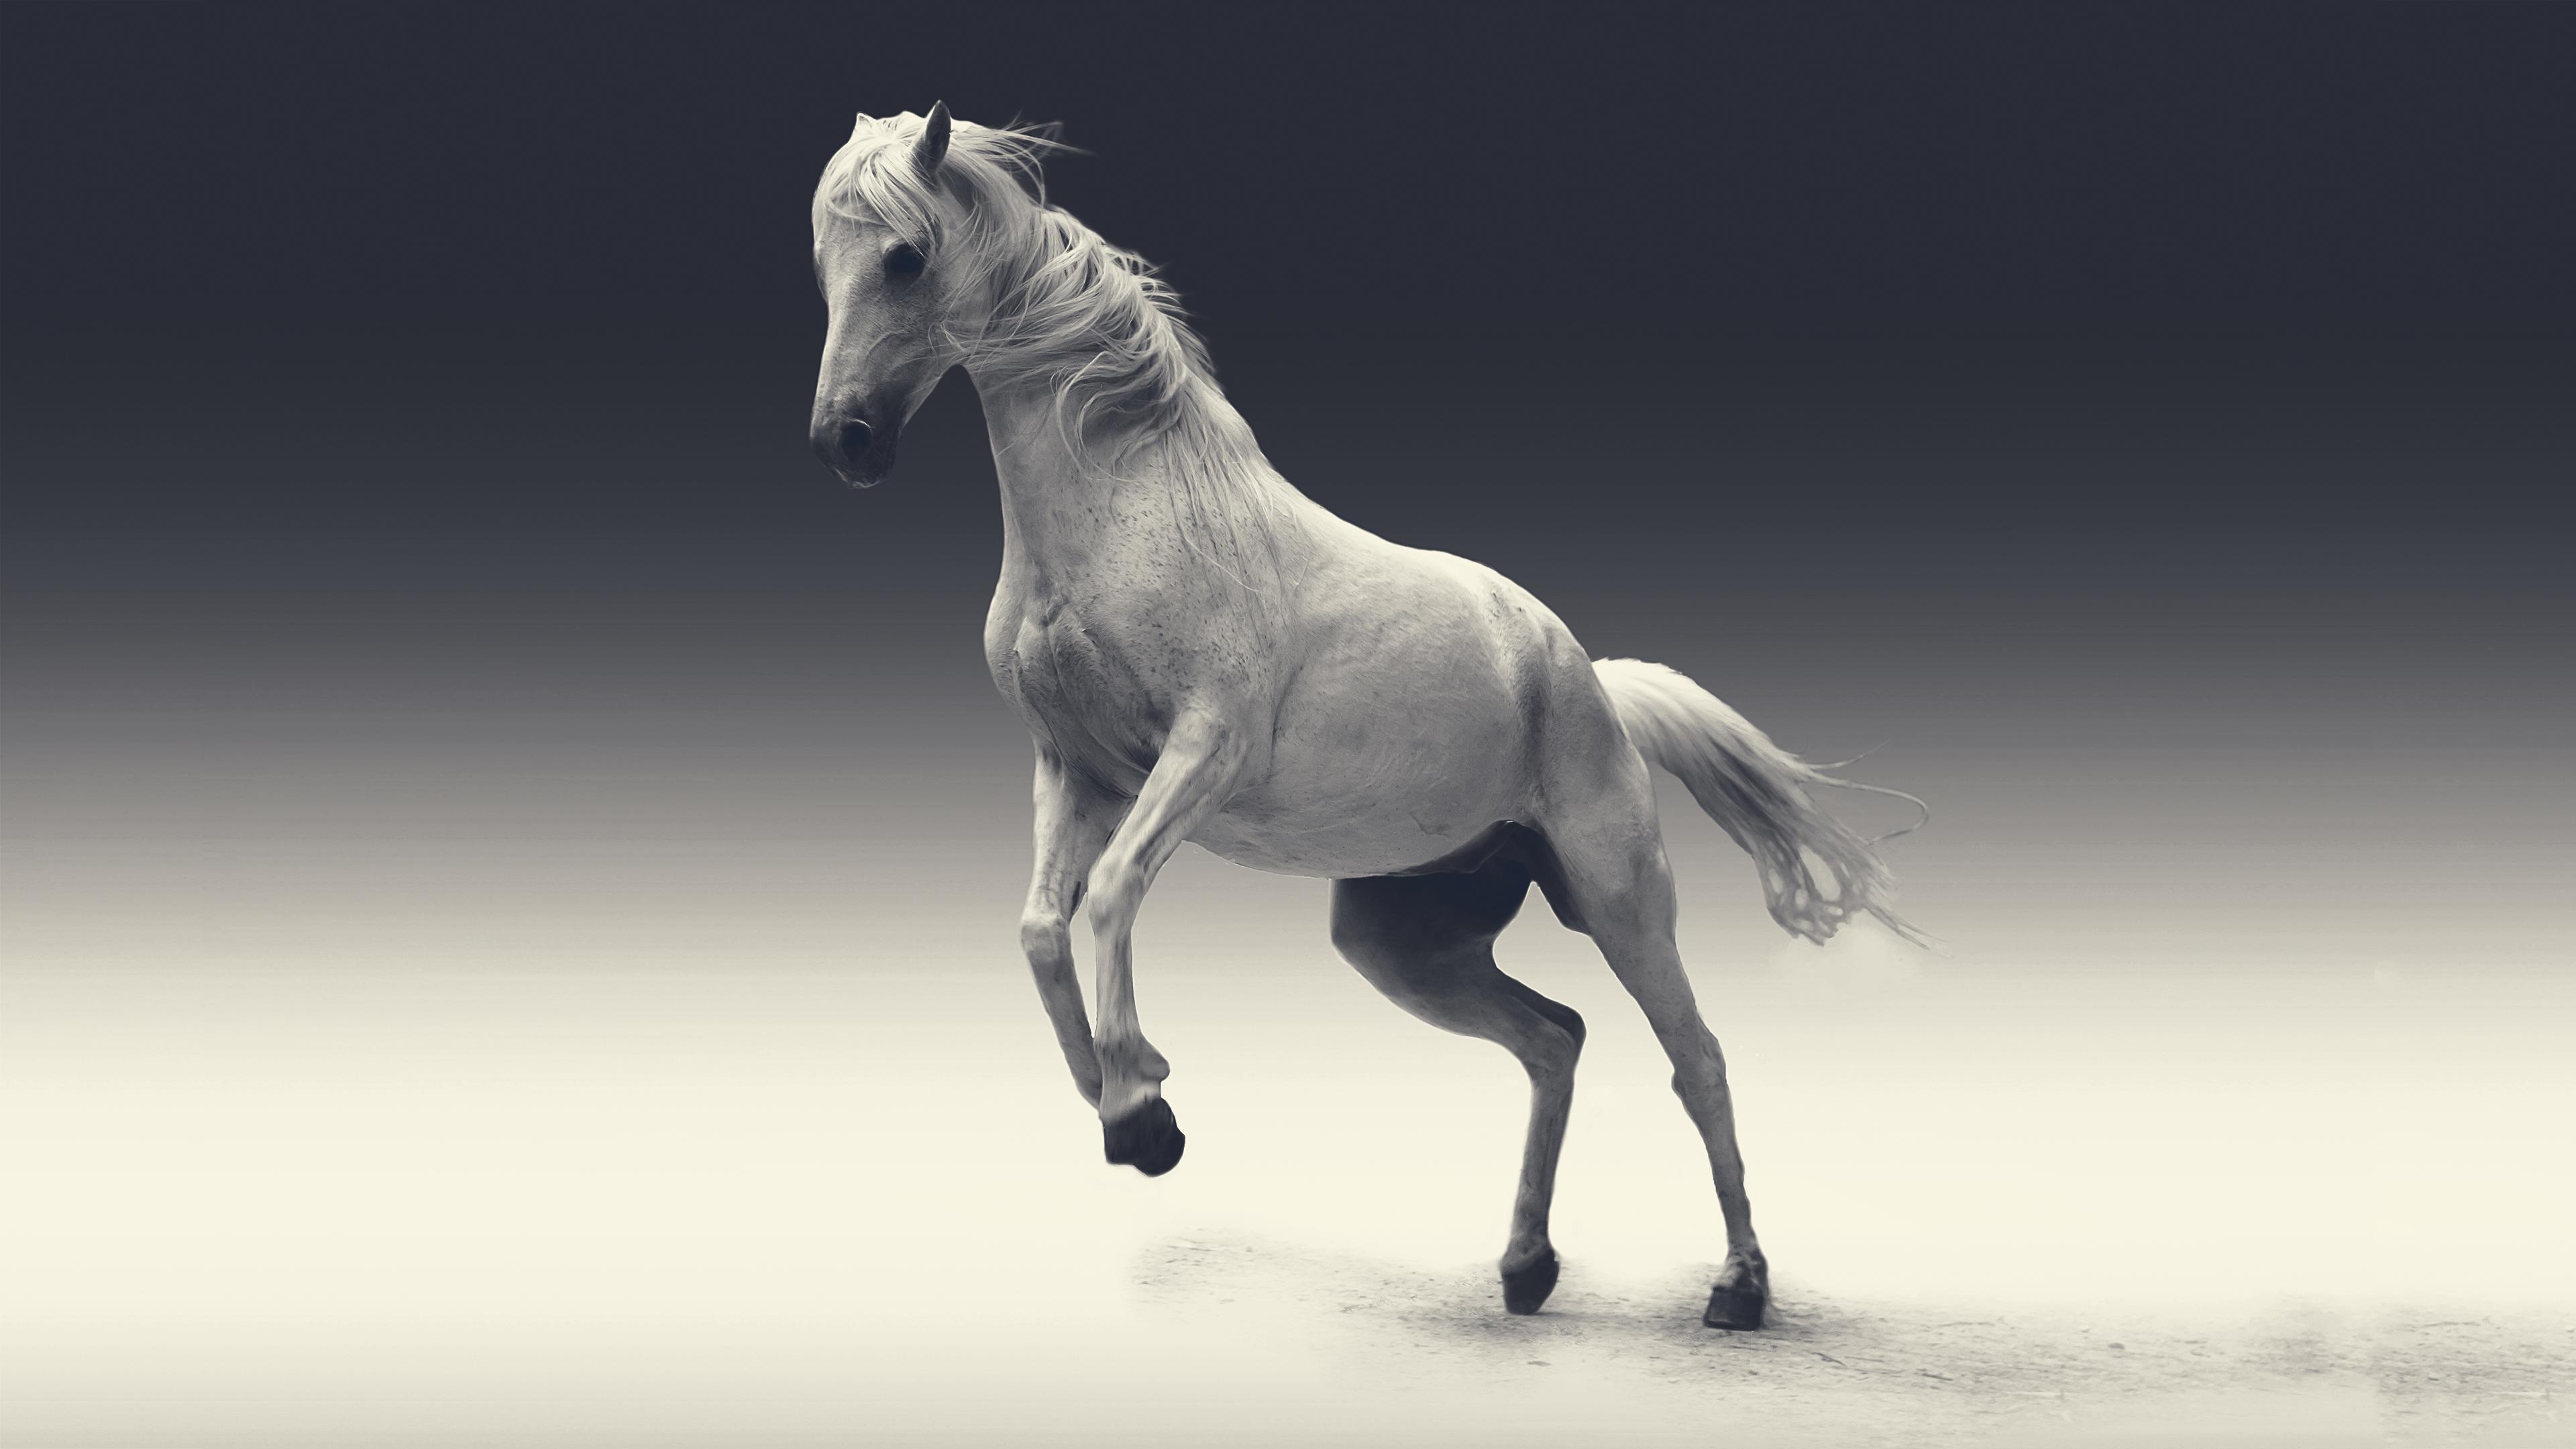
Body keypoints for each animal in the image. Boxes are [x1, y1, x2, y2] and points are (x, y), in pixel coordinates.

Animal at [806, 104, 1929, 1331]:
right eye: (824, 261)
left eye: (904, 258)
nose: (844, 442)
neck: (1126, 508)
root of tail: (1587, 681)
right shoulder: (1076, 771)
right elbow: (1039, 929)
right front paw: (1120, 1104)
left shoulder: (1201, 754)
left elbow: (1107, 897)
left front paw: (1144, 1110)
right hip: (1405, 942)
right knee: (1555, 1039)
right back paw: (1525, 1268)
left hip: (1621, 900)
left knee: (1699, 1060)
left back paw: (1740, 1287)